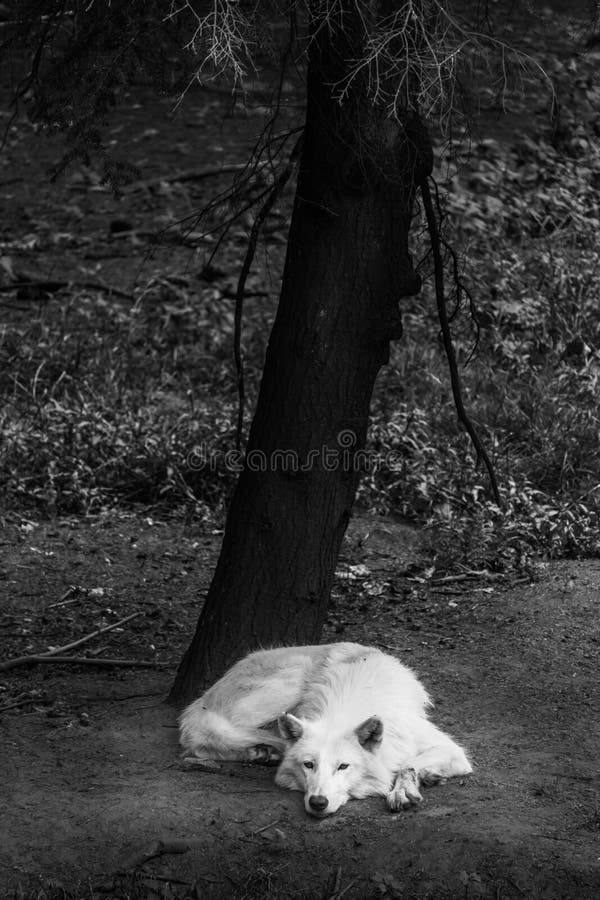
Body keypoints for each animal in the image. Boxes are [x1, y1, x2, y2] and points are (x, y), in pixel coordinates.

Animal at [178, 642, 472, 816]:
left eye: (343, 766)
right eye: (309, 765)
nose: (318, 803)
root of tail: (201, 698)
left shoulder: (451, 750)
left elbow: (407, 764)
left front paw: (406, 789)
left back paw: (260, 752)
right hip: (289, 683)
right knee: (202, 735)